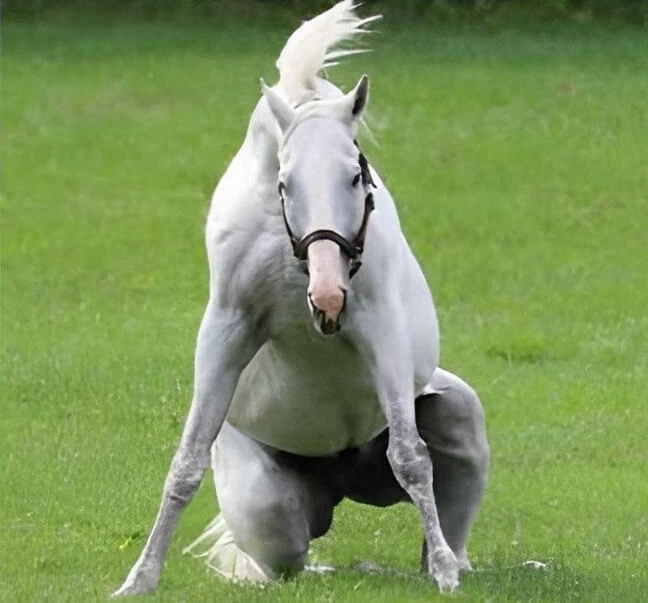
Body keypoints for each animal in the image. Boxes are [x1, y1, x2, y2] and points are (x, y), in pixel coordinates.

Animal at [113, 1, 489, 596]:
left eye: (357, 175)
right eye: (285, 183)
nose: (329, 296)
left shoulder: (382, 331)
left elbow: (411, 457)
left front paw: (447, 576)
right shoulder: (225, 331)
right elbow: (186, 464)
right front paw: (141, 578)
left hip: (455, 409)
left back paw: (448, 560)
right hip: (271, 515)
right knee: (283, 559)